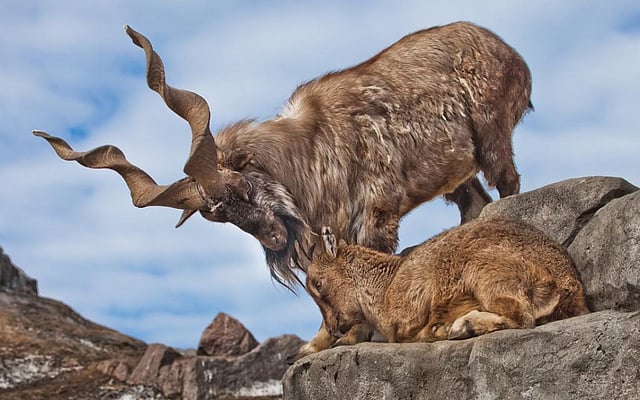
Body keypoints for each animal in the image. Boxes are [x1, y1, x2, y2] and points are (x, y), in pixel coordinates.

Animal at [35, 22, 532, 357]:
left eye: (242, 186)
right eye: (216, 215)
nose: (274, 239)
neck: (313, 145)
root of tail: (513, 55)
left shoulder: (375, 212)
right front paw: (315, 345)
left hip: (492, 136)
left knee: (508, 184)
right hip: (460, 178)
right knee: (475, 203)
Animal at [305, 216, 590, 348]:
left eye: (318, 284)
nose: (335, 328)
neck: (385, 285)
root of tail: (565, 285)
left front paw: (439, 329)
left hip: (486, 273)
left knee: (522, 316)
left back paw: (462, 326)